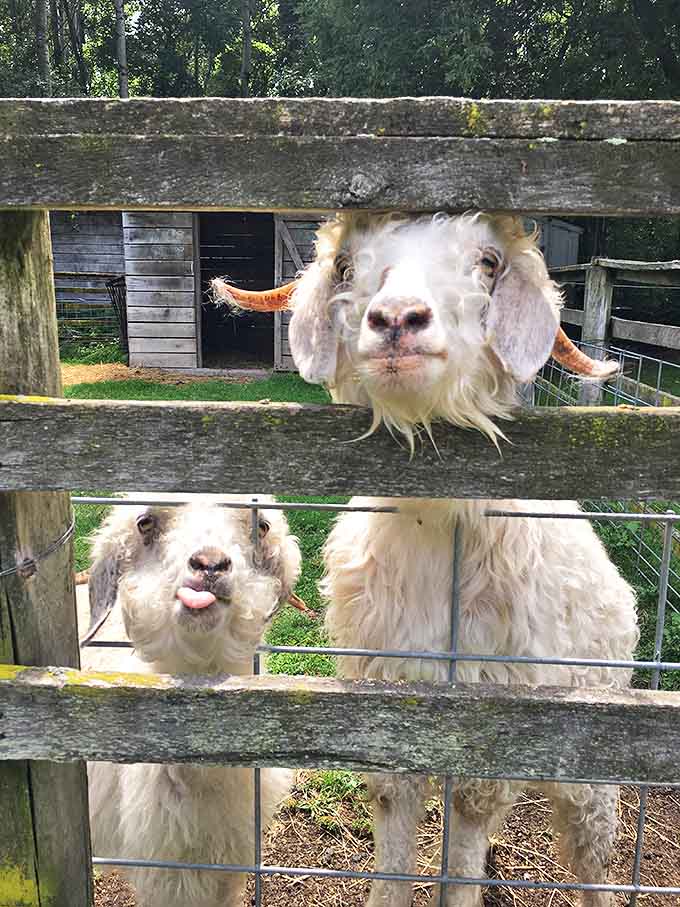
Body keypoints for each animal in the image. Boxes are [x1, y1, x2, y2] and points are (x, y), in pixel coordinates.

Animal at [215, 213, 639, 907]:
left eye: (489, 261)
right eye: (347, 266)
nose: (397, 319)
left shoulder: (492, 728)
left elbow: (461, 844)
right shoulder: (385, 699)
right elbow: (396, 832)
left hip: (593, 744)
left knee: (592, 850)